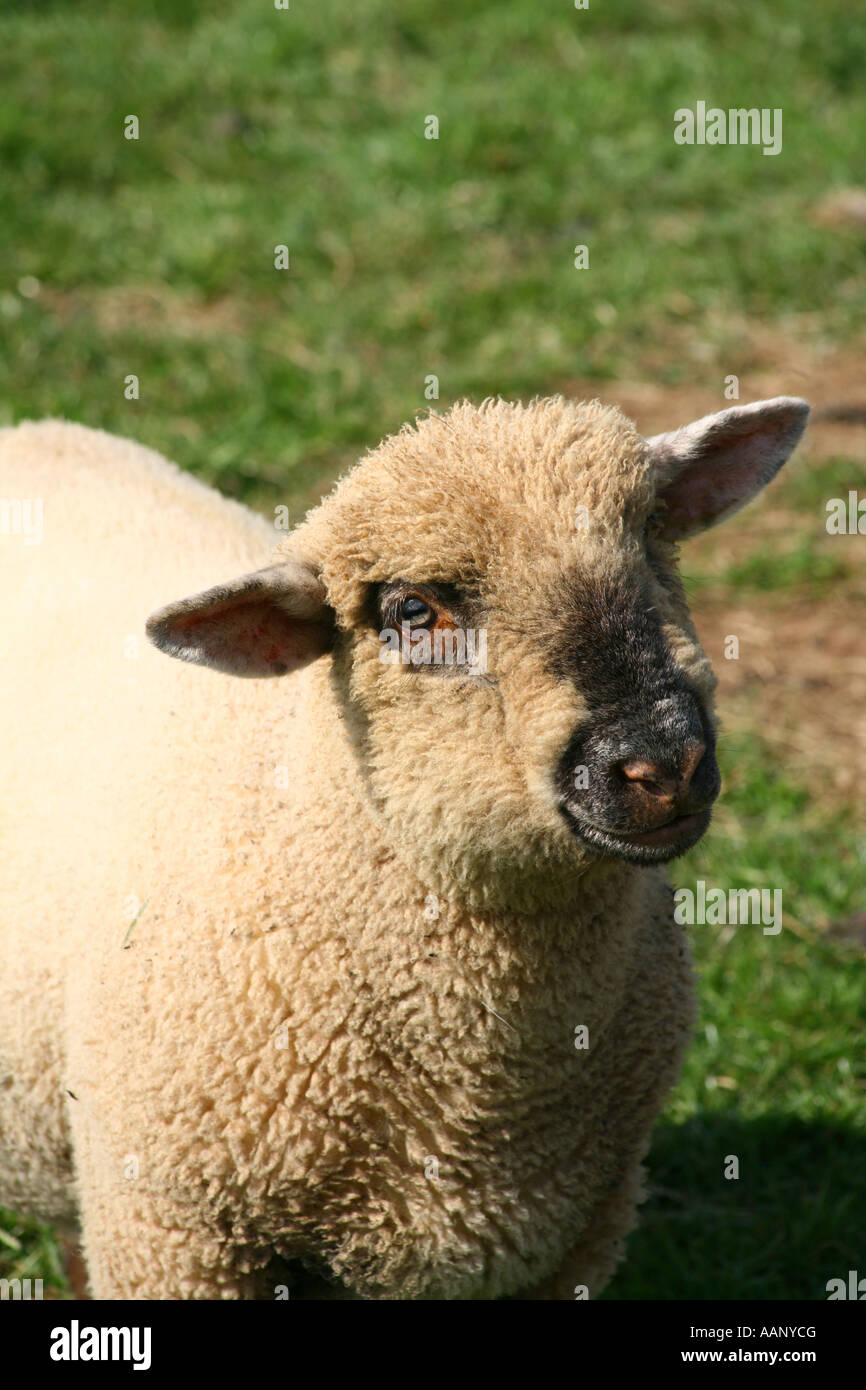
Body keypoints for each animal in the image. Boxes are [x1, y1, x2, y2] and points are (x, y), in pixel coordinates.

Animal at [0, 395, 809, 1300]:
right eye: (412, 612)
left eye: (649, 534)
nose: (664, 760)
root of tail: (31, 430)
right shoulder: (171, 1230)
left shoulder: (578, 1230)